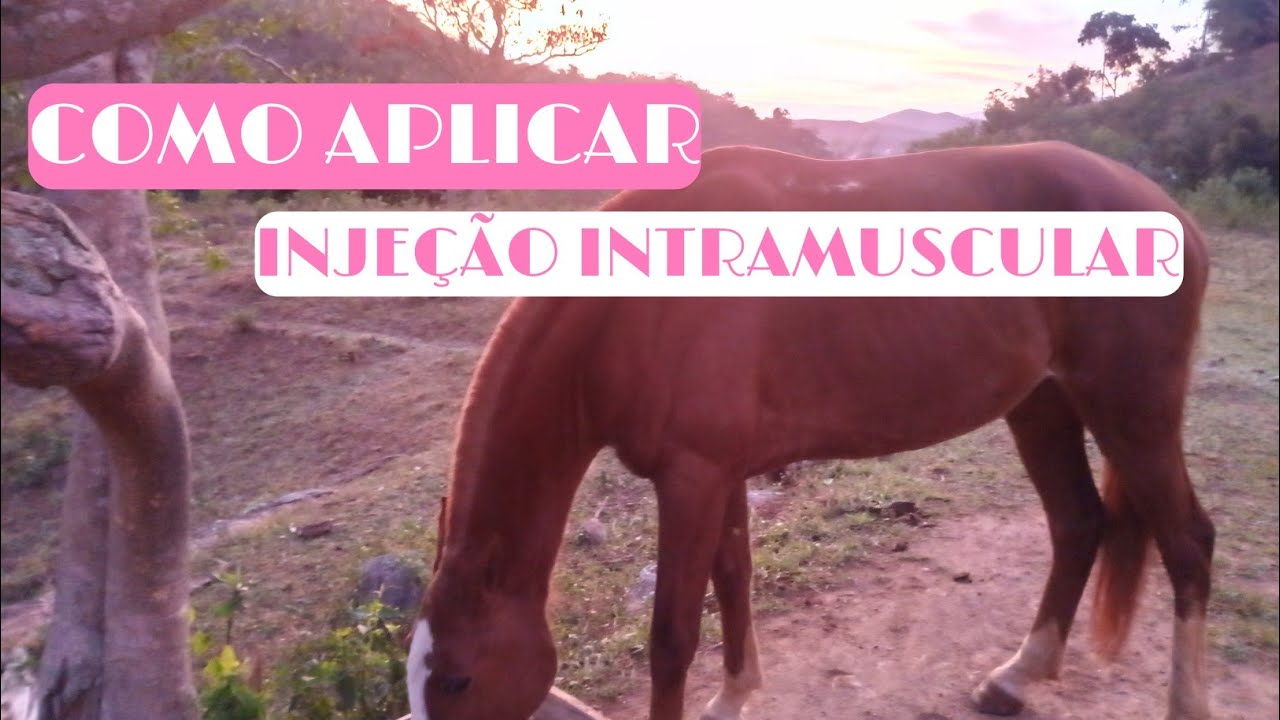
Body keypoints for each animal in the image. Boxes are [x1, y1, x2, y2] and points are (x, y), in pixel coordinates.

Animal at [405, 141, 1215, 720]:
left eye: (458, 679)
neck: (635, 310)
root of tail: (1169, 210)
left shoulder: (692, 479)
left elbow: (672, 639)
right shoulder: (716, 472)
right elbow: (734, 581)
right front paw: (734, 696)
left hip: (1131, 414)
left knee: (1187, 545)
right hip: (1042, 406)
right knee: (1079, 525)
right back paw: (1015, 679)